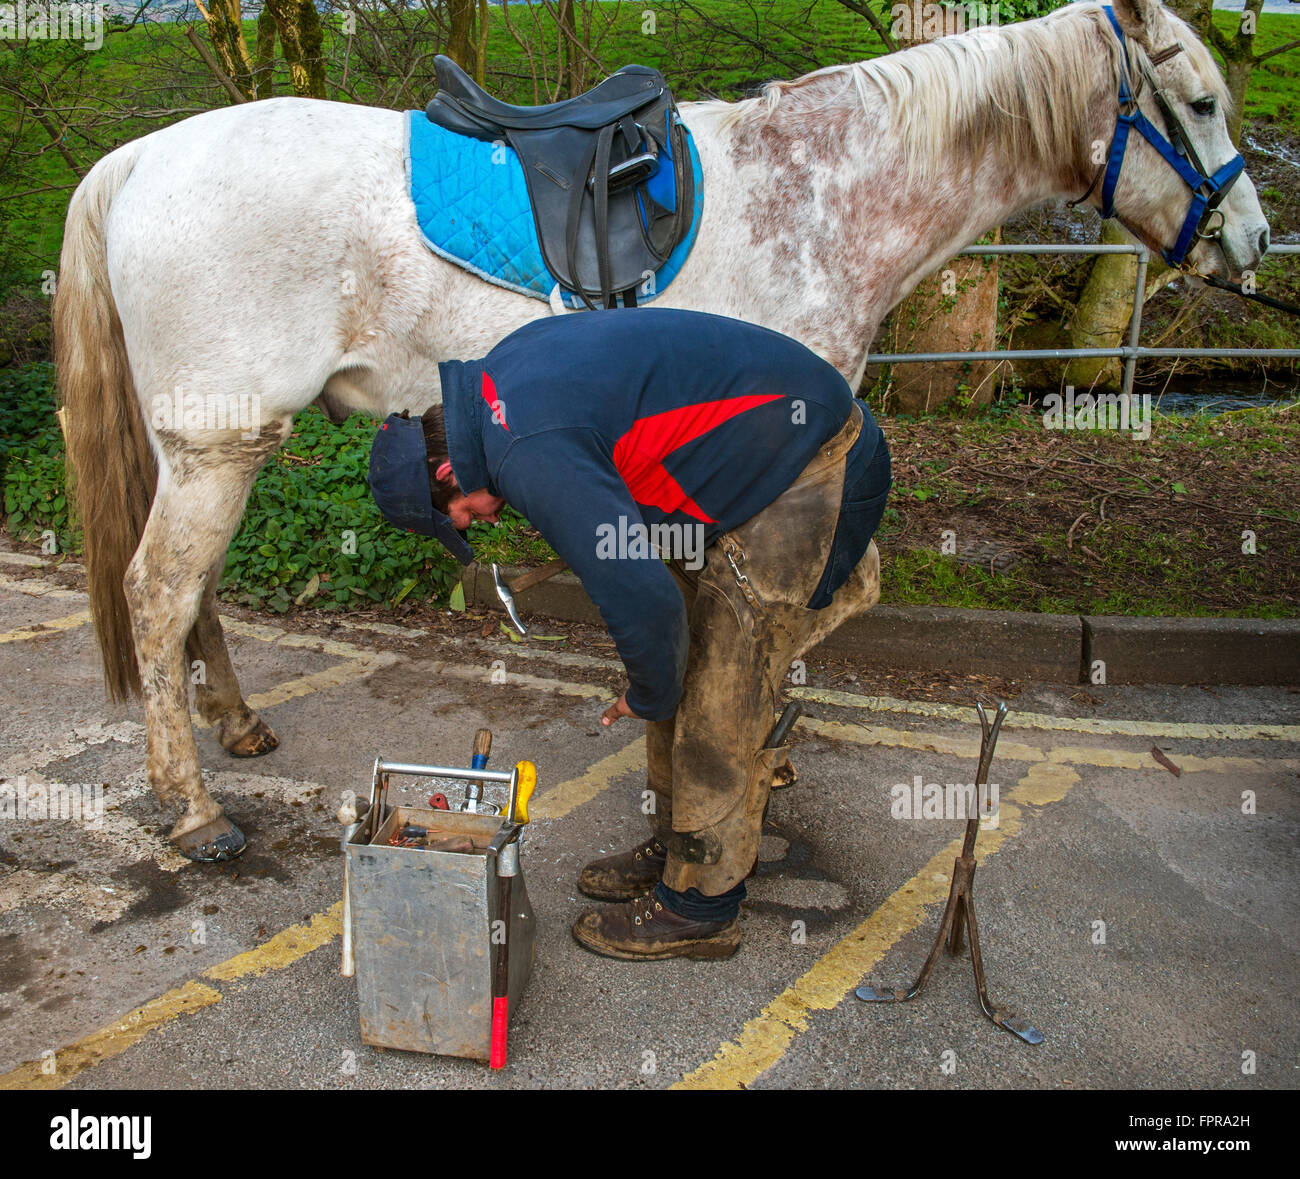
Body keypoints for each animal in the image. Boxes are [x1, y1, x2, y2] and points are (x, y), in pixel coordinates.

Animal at [52, 0, 1269, 858]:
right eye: (1202, 103)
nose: (1252, 243)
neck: (823, 194)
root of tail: (139, 157)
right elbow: (799, 608)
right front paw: (757, 748)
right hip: (220, 448)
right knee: (158, 593)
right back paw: (194, 808)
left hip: (209, 448)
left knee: (192, 594)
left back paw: (238, 728)